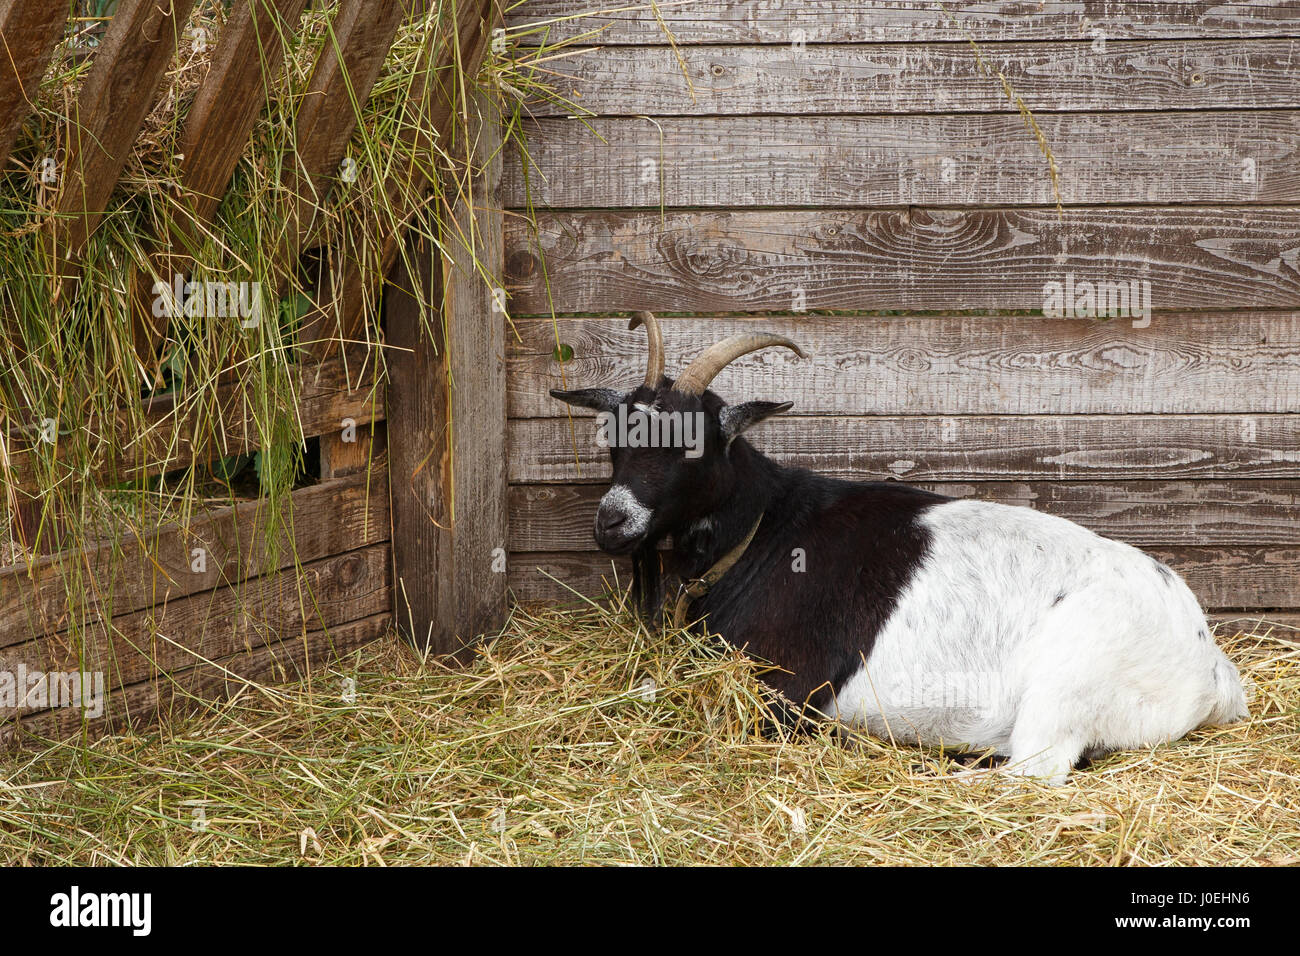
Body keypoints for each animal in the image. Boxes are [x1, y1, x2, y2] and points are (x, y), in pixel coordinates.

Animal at [551, 313, 1250, 784]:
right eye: (616, 435)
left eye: (692, 445)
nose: (612, 523)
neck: (762, 531)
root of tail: (1210, 667)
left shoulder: (782, 688)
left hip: (1068, 685)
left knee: (1034, 769)